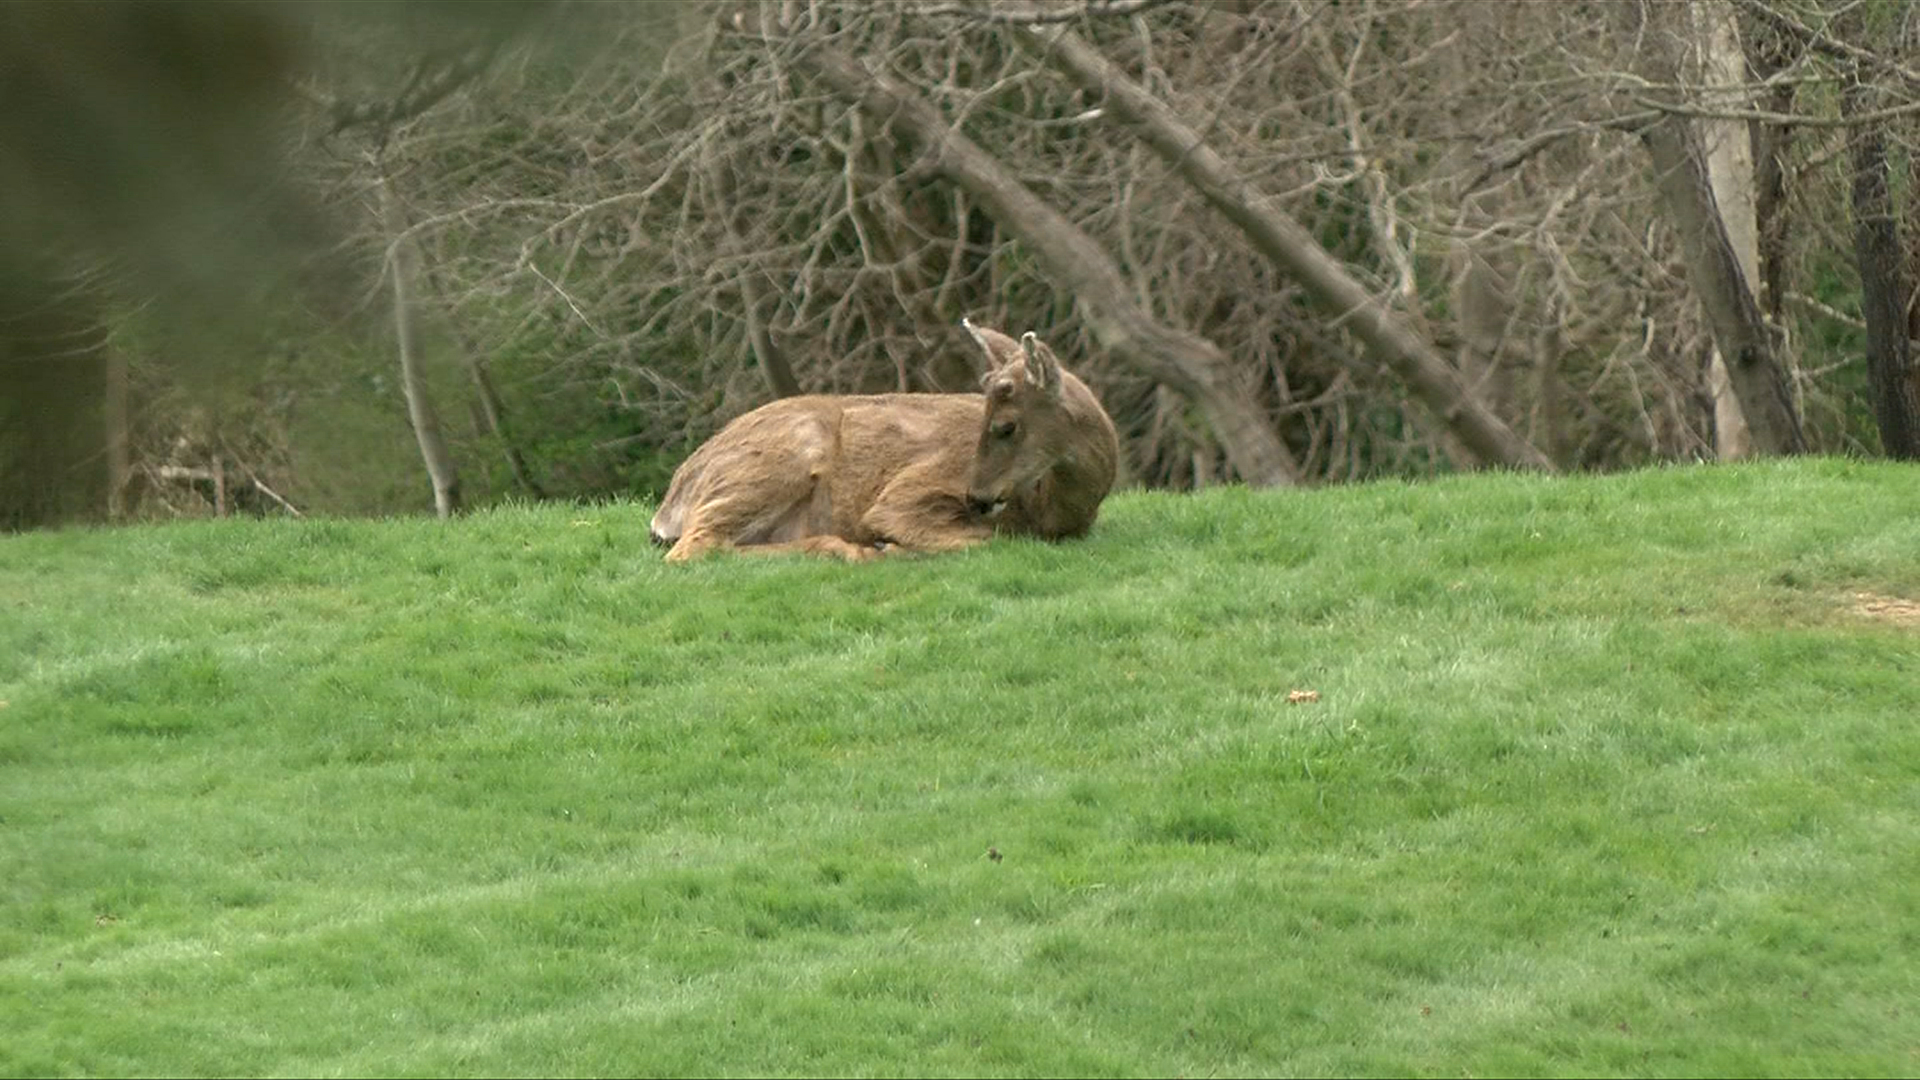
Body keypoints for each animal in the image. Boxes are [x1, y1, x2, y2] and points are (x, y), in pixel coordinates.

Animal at [648, 319, 1119, 562]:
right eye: (991, 421)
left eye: (1005, 425)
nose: (977, 496)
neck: (1049, 513)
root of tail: (668, 507)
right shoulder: (909, 489)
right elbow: (990, 538)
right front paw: (888, 544)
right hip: (778, 459)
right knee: (693, 548)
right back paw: (854, 549)